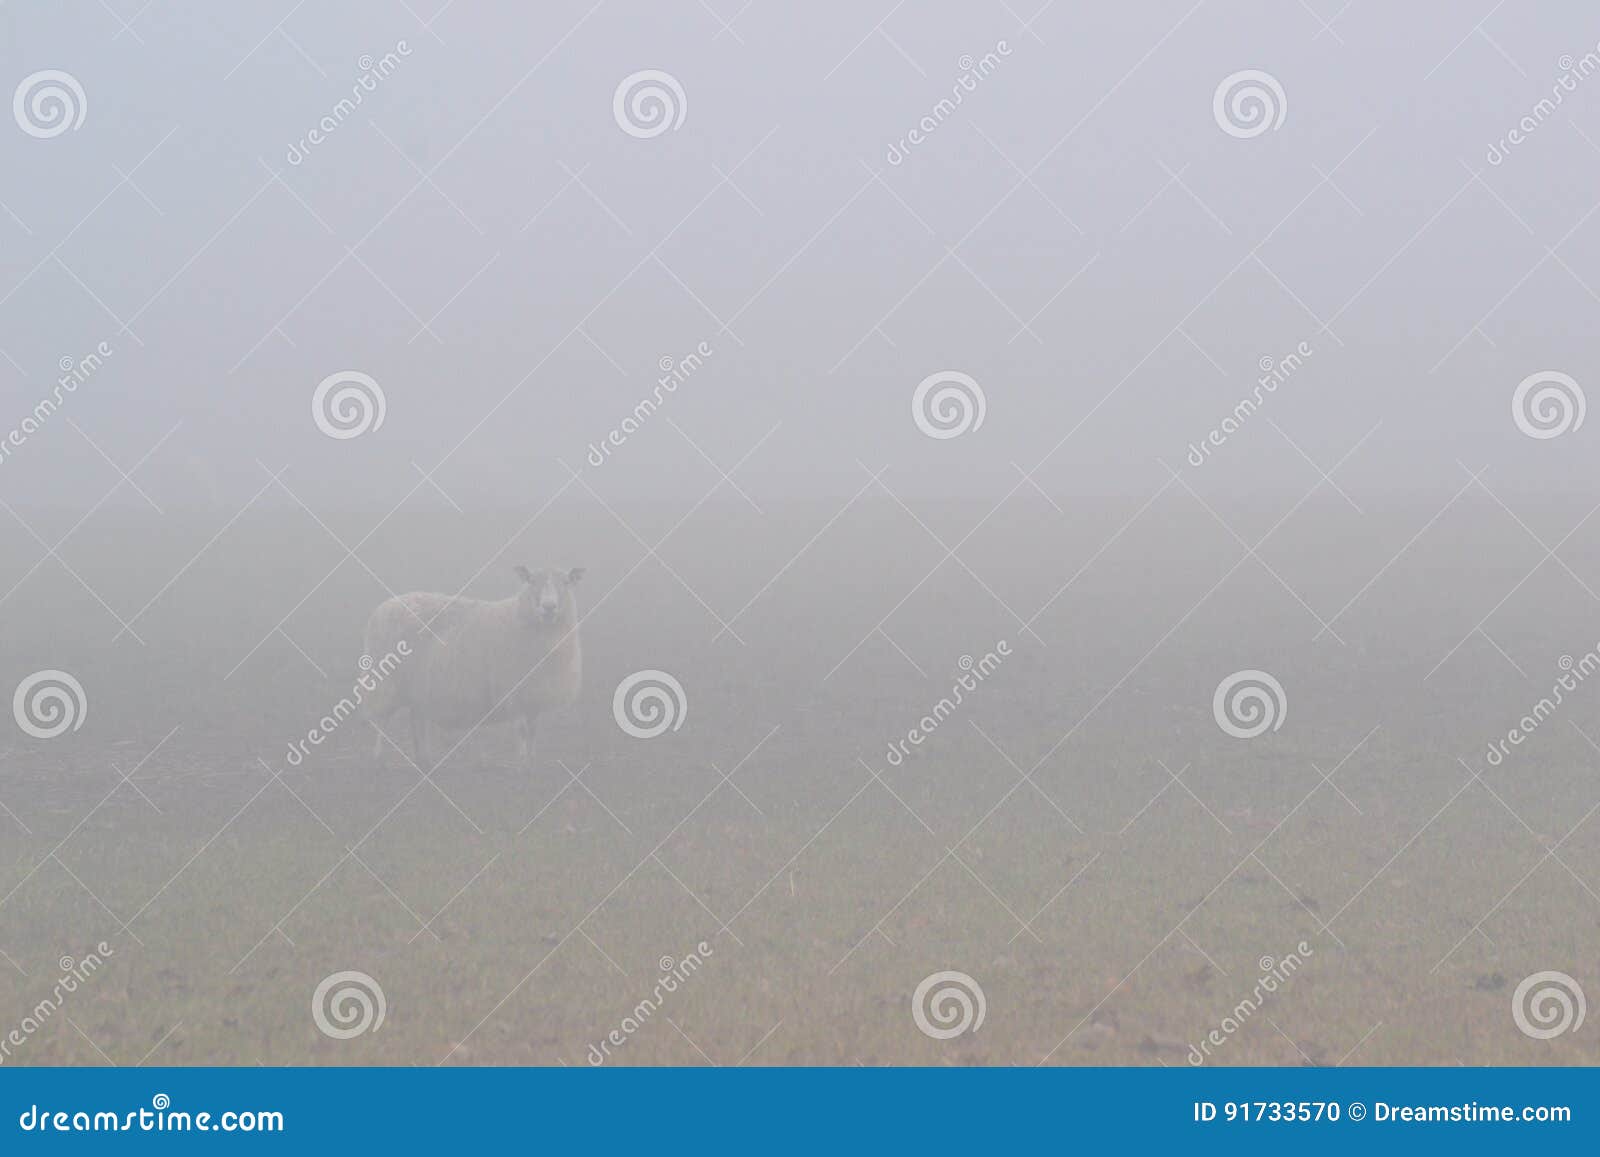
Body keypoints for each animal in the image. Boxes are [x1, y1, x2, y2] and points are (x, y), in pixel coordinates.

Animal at [361, 565, 585, 766]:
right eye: (531, 581)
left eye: (566, 582)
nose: (549, 607)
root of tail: (384, 606)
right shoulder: (513, 691)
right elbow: (521, 729)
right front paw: (521, 762)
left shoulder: (535, 693)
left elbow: (533, 730)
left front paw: (532, 760)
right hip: (386, 684)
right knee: (380, 722)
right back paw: (377, 758)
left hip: (418, 686)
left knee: (417, 722)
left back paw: (424, 759)